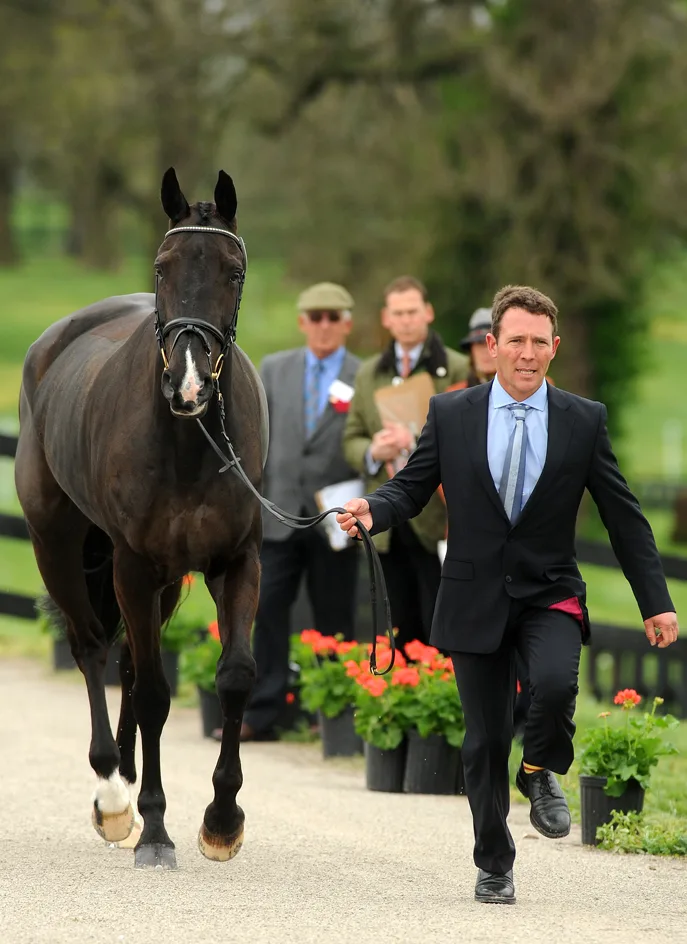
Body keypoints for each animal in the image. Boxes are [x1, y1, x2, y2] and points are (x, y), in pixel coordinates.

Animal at [15, 168, 268, 870]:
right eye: (163, 266)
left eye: (234, 271)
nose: (188, 384)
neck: (190, 443)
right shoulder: (132, 565)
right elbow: (155, 693)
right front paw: (155, 828)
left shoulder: (235, 562)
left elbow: (235, 677)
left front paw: (222, 820)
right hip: (58, 546)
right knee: (93, 649)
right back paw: (112, 796)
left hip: (162, 582)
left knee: (127, 659)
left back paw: (126, 777)